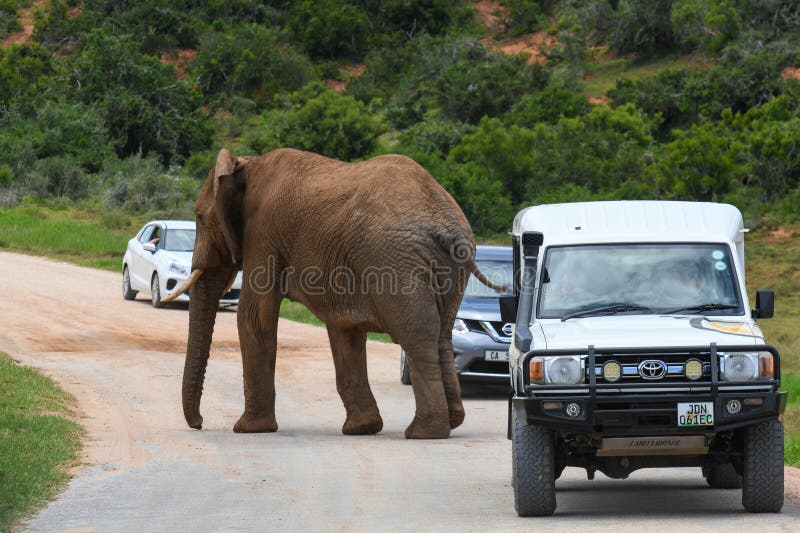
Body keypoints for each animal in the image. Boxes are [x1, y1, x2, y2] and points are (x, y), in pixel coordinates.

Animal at [164, 148, 503, 439]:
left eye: (199, 217)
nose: (200, 424)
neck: (248, 163)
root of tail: (447, 223)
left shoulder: (263, 233)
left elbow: (255, 315)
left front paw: (247, 429)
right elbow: (345, 329)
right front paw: (362, 429)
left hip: (393, 261)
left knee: (417, 335)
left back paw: (423, 433)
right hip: (444, 267)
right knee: (443, 335)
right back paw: (452, 421)